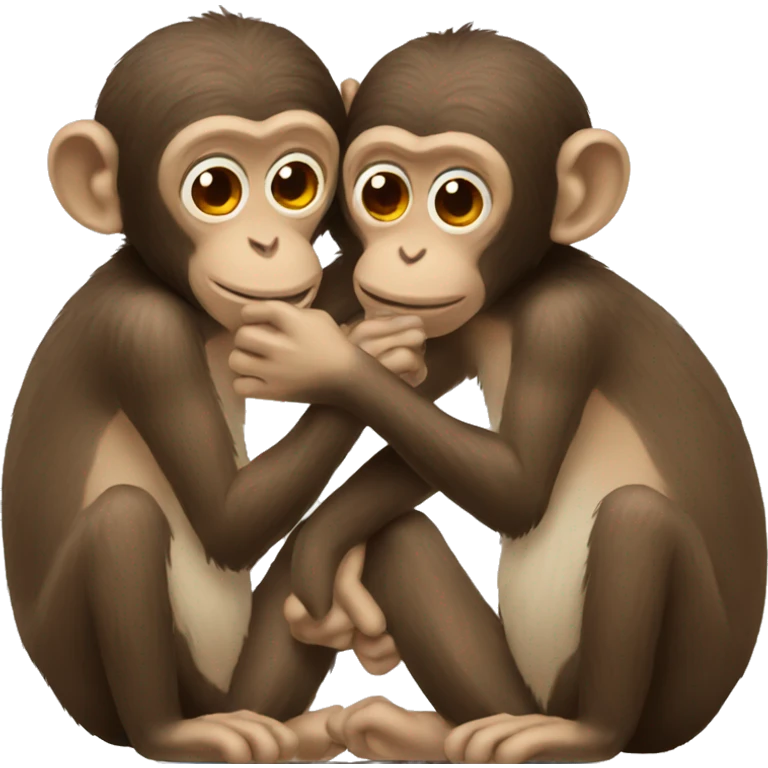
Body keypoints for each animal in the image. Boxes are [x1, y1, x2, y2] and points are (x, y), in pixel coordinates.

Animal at [2, 11, 445, 763]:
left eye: (294, 182)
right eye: (215, 189)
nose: (265, 244)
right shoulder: (143, 334)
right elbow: (227, 519)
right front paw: (355, 355)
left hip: (251, 678)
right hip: (118, 685)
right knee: (125, 520)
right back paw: (176, 733)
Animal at [231, 25, 767, 763]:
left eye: (458, 201)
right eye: (383, 193)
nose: (410, 256)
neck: (519, 291)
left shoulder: (565, 323)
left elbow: (517, 484)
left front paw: (321, 359)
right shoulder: (460, 323)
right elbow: (420, 445)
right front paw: (324, 557)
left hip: (673, 688)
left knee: (635, 519)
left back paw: (575, 735)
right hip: (504, 682)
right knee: (402, 546)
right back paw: (421, 729)